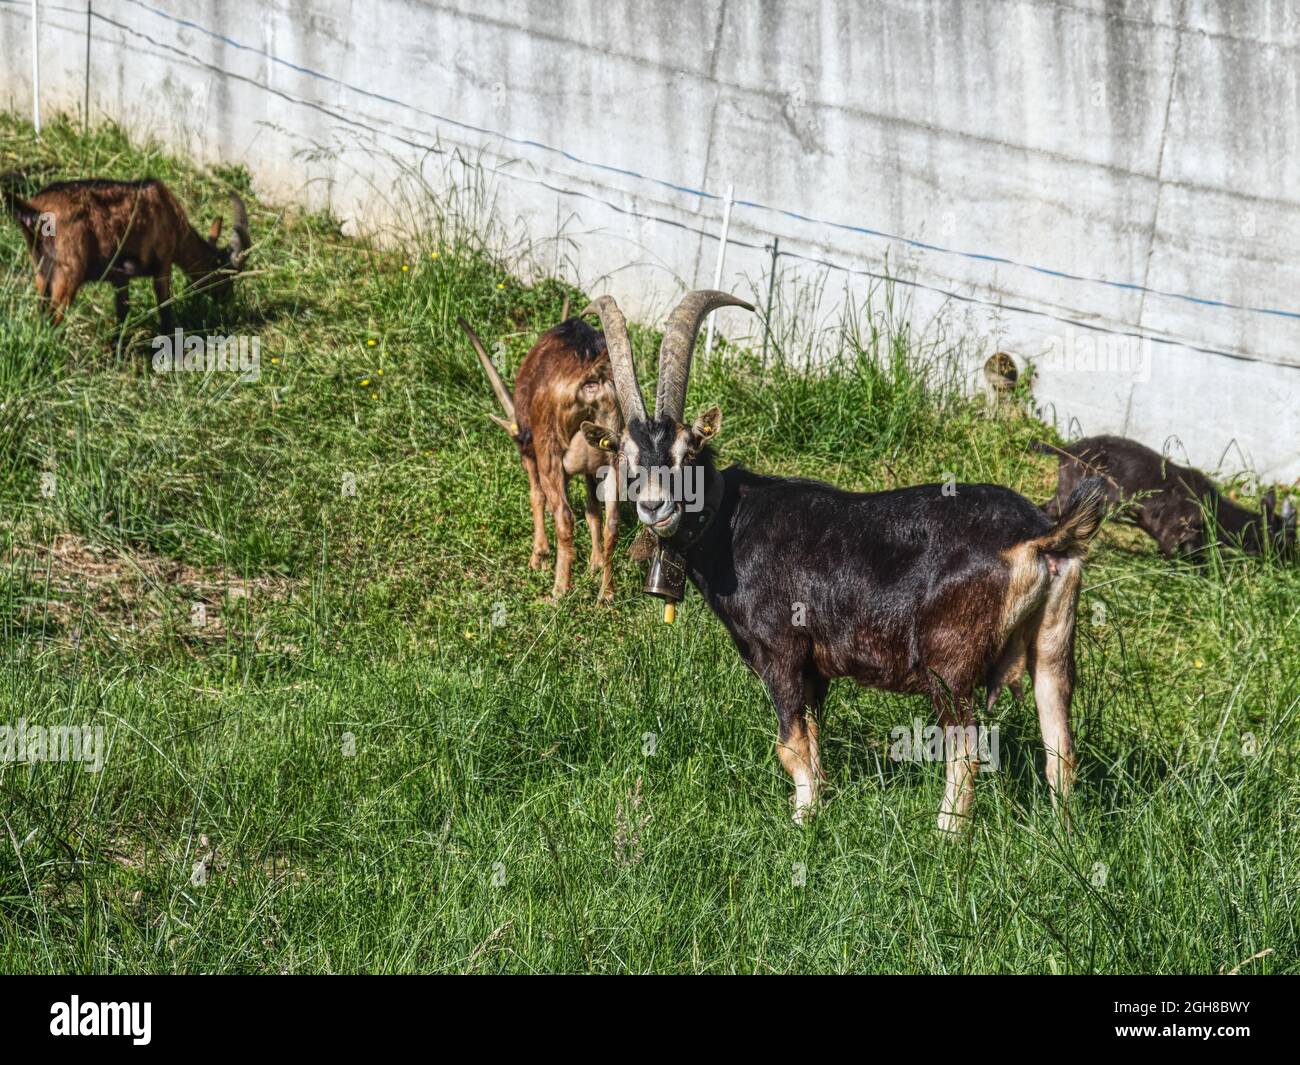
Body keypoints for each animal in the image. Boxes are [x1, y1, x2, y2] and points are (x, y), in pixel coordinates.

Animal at [2, 177, 249, 332]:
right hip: (68, 271)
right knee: (53, 319)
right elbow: (164, 305)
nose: (228, 300)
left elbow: (122, 313)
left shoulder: (120, 276)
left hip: (41, 269)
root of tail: (34, 210)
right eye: (225, 275)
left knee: (41, 312)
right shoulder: (163, 262)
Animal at [458, 306, 621, 602]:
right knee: (612, 521)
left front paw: (539, 557)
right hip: (614, 450)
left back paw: (558, 591)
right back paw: (606, 595)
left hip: (549, 446)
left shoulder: (532, 449)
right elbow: (593, 508)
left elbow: (536, 495)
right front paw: (594, 563)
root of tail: (592, 377)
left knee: (563, 515)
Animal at [580, 291, 1106, 830]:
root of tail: (1042, 535)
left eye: (689, 450)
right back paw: (1062, 836)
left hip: (951, 662)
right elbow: (812, 739)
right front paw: (819, 806)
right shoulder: (816, 669)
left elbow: (790, 745)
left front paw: (801, 822)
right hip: (1053, 645)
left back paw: (945, 836)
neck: (733, 522)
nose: (654, 506)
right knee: (1060, 746)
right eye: (624, 454)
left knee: (966, 748)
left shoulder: (781, 651)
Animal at [1036, 435, 1296, 560]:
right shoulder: (1172, 536)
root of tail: (1067, 449)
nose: (1292, 562)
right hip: (1071, 491)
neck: (1217, 514)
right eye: (1284, 538)